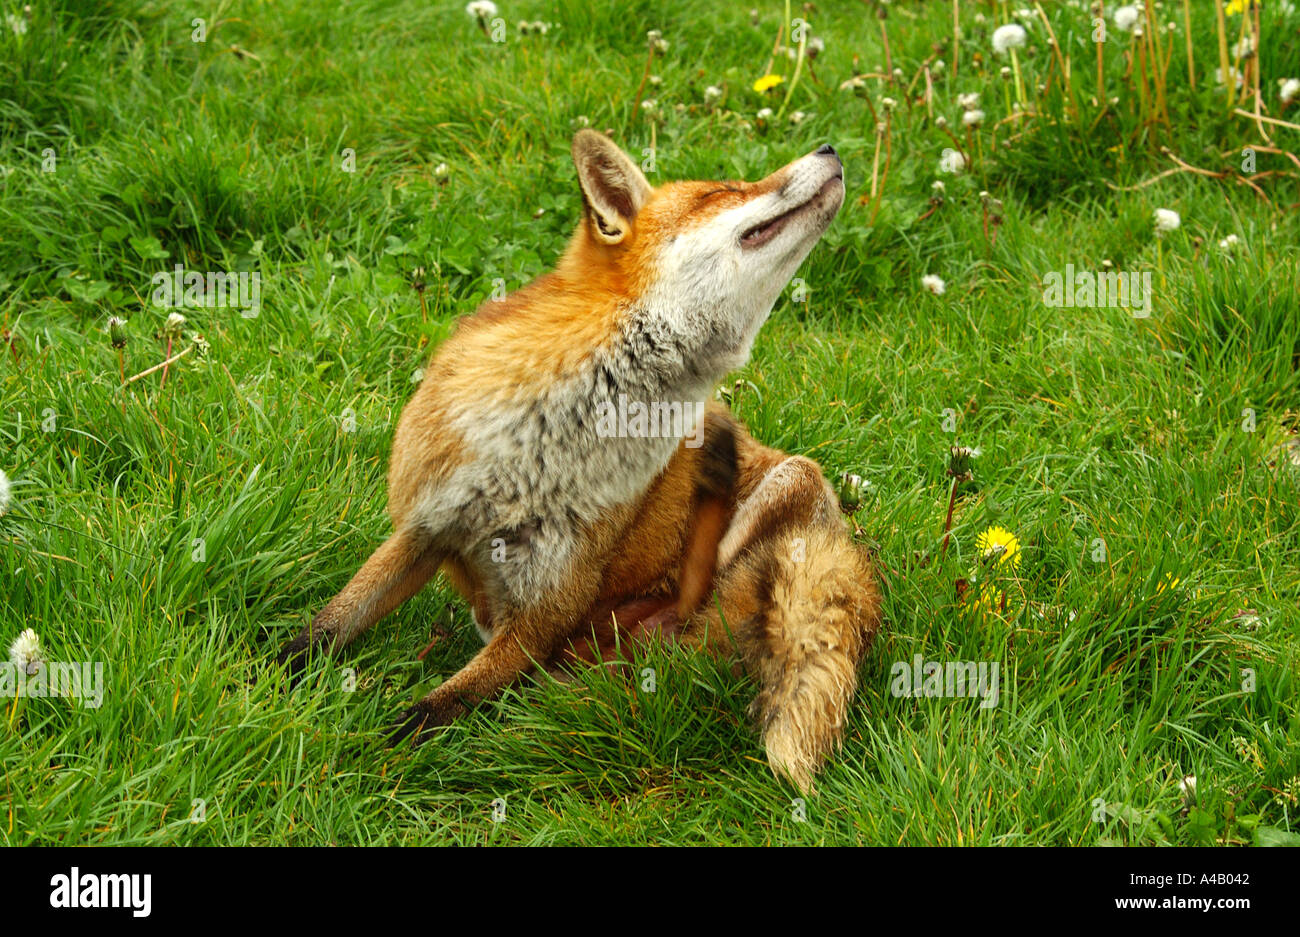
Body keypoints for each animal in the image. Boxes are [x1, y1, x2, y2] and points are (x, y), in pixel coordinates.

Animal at [278, 130, 882, 793]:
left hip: (792, 480)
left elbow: (439, 708)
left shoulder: (544, 611)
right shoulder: (427, 525)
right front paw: (266, 673)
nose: (831, 149)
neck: (545, 450)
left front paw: (379, 752)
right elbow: (330, 624)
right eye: (722, 190)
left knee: (695, 615)